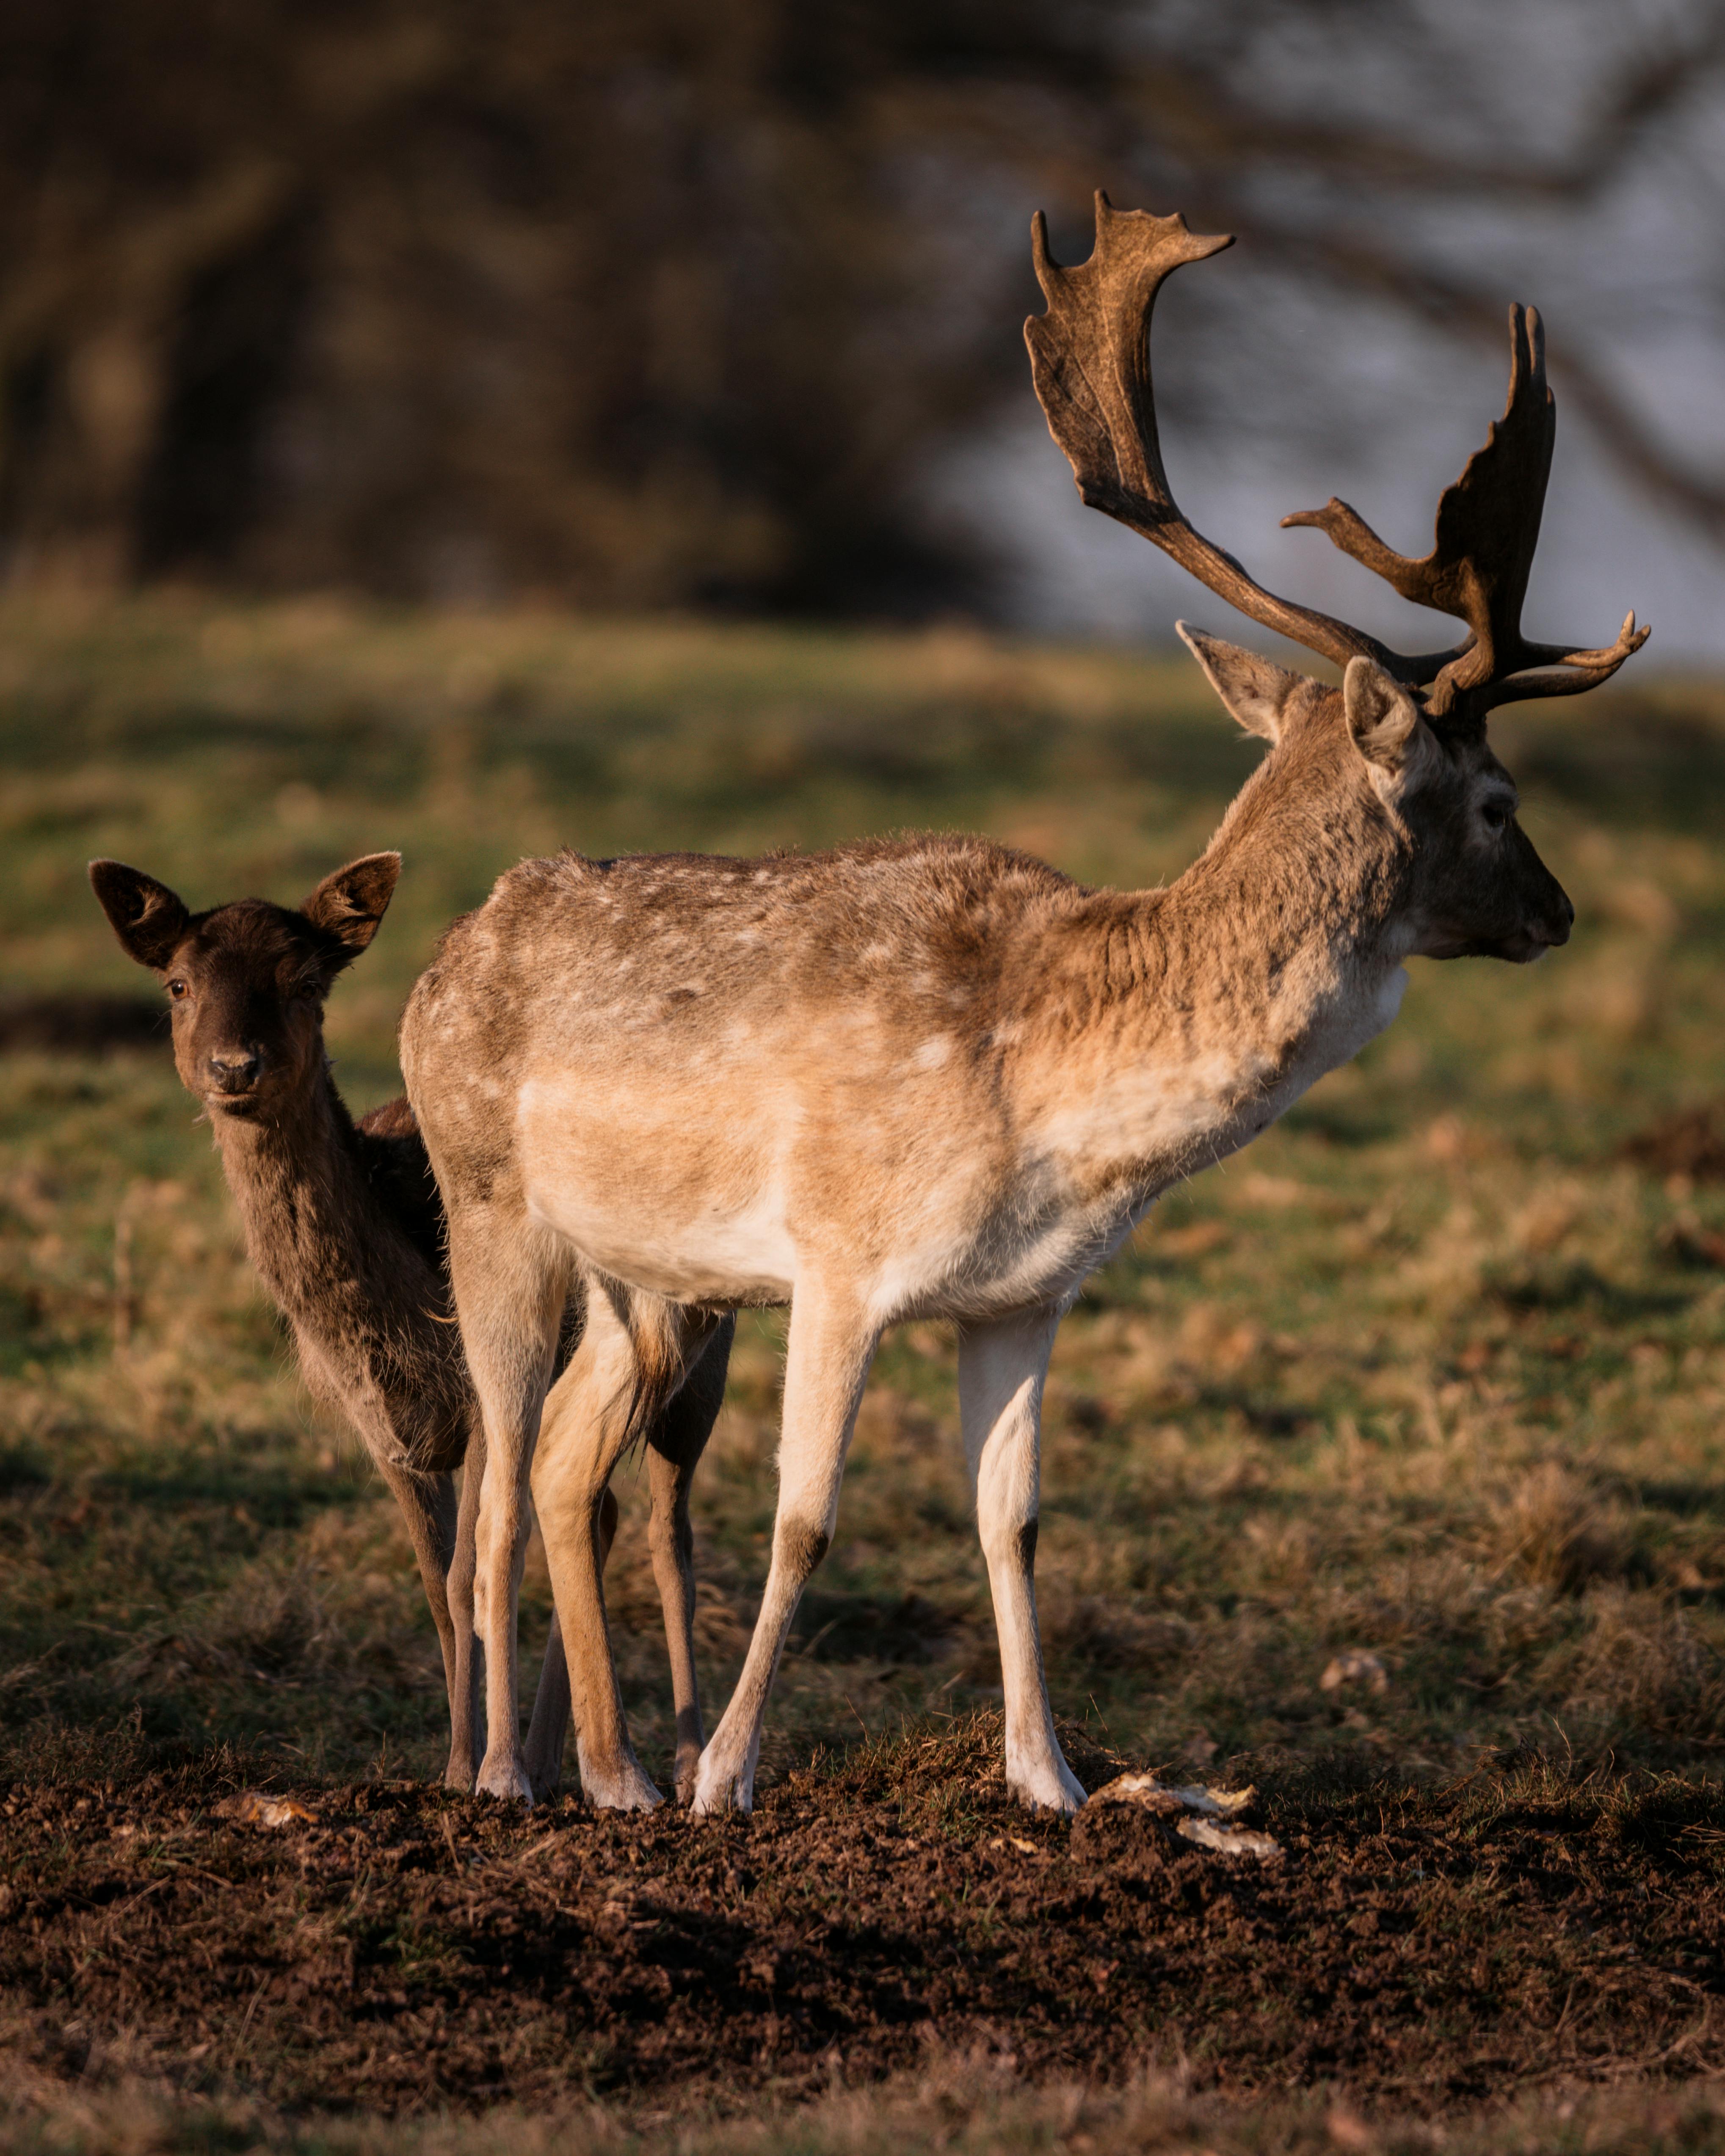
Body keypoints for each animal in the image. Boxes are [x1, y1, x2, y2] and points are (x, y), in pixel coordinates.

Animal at [89, 852, 733, 1801]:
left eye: (306, 981)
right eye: (178, 984)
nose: (234, 1065)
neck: (389, 1319)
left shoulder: (473, 1399)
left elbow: (470, 1571)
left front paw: (477, 1771)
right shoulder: (376, 1424)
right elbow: (435, 1583)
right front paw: (461, 1764)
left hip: (700, 1358)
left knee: (667, 1530)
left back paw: (682, 1767)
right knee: (597, 1505)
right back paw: (559, 1756)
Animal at [399, 193, 1648, 1815]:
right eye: (1497, 802)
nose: (1558, 912)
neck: (1057, 1113)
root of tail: (434, 961)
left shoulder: (1024, 1296)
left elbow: (1015, 1523)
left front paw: (1047, 1778)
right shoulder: (841, 1258)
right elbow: (804, 1516)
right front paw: (729, 1776)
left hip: (653, 1277)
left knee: (560, 1463)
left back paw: (609, 1778)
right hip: (488, 1202)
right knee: (489, 1477)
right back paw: (498, 1773)